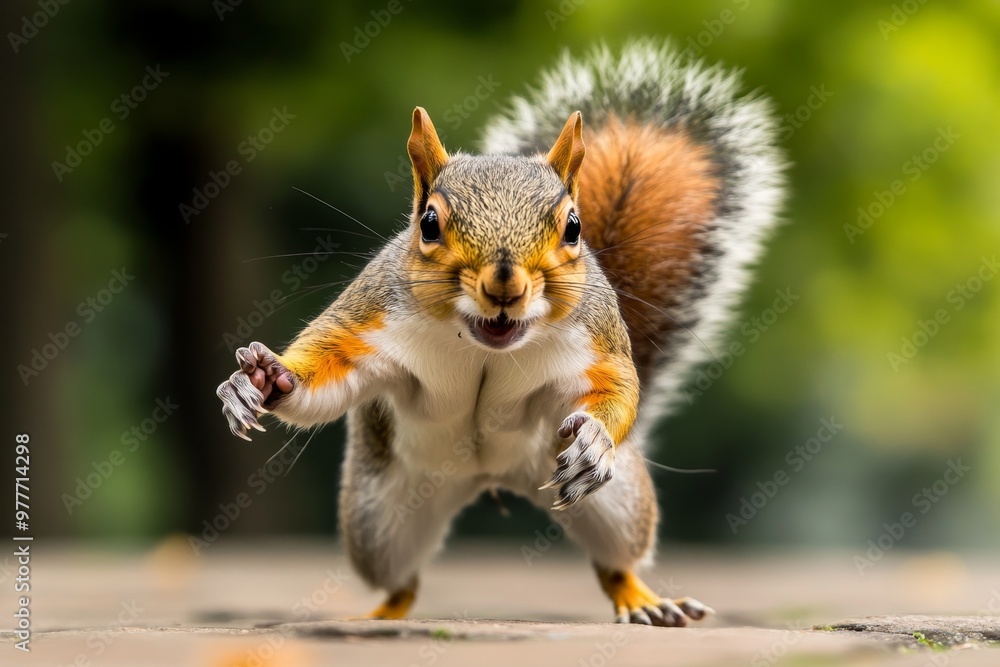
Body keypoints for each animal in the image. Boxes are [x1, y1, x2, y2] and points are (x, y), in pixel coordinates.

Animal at [217, 40, 784, 626]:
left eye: (574, 227)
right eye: (428, 222)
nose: (505, 283)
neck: (481, 345)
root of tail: (488, 478)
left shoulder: (596, 345)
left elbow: (617, 389)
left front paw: (595, 439)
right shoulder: (370, 320)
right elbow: (326, 375)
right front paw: (261, 379)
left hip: (615, 501)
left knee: (616, 559)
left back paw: (644, 600)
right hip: (379, 518)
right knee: (401, 580)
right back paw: (380, 615)